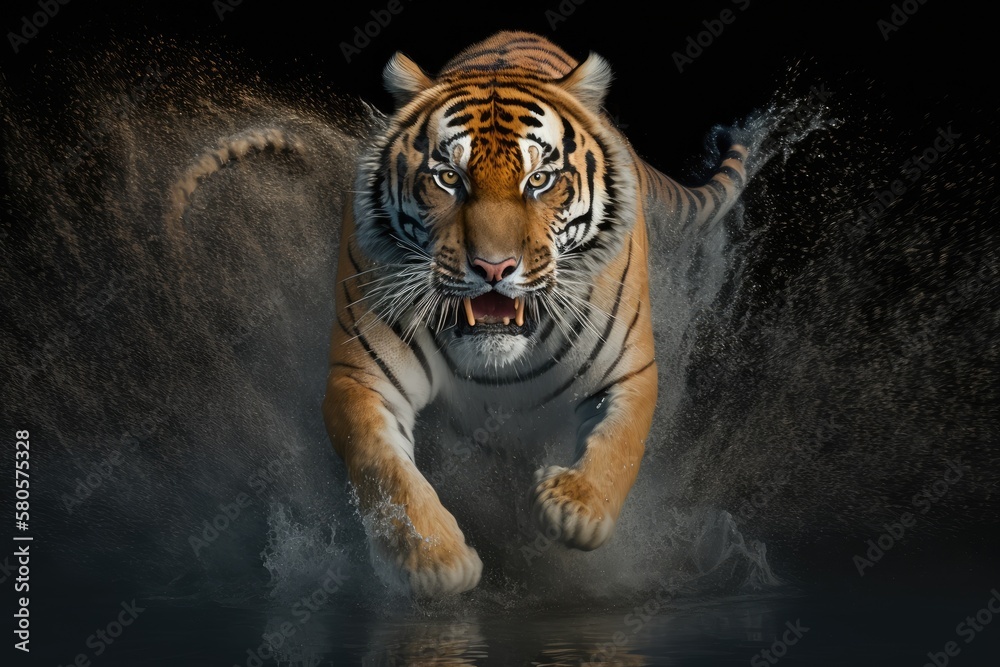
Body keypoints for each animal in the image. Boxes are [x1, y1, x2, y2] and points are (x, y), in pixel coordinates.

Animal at [322, 30, 748, 597]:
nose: (493, 267)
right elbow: (381, 464)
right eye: (448, 177)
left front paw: (574, 509)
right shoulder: (360, 376)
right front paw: (432, 559)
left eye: (539, 179)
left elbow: (620, 443)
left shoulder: (626, 369)